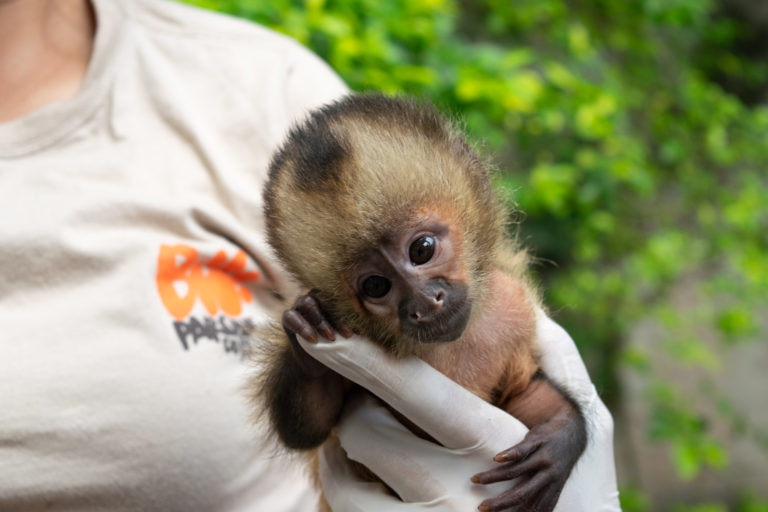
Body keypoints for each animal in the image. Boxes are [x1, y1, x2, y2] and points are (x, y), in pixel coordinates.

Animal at [250, 93, 587, 512]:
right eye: (376, 285)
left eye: (422, 249)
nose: (425, 301)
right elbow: (306, 429)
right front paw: (309, 332)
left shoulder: (513, 308)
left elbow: (528, 394)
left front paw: (553, 448)